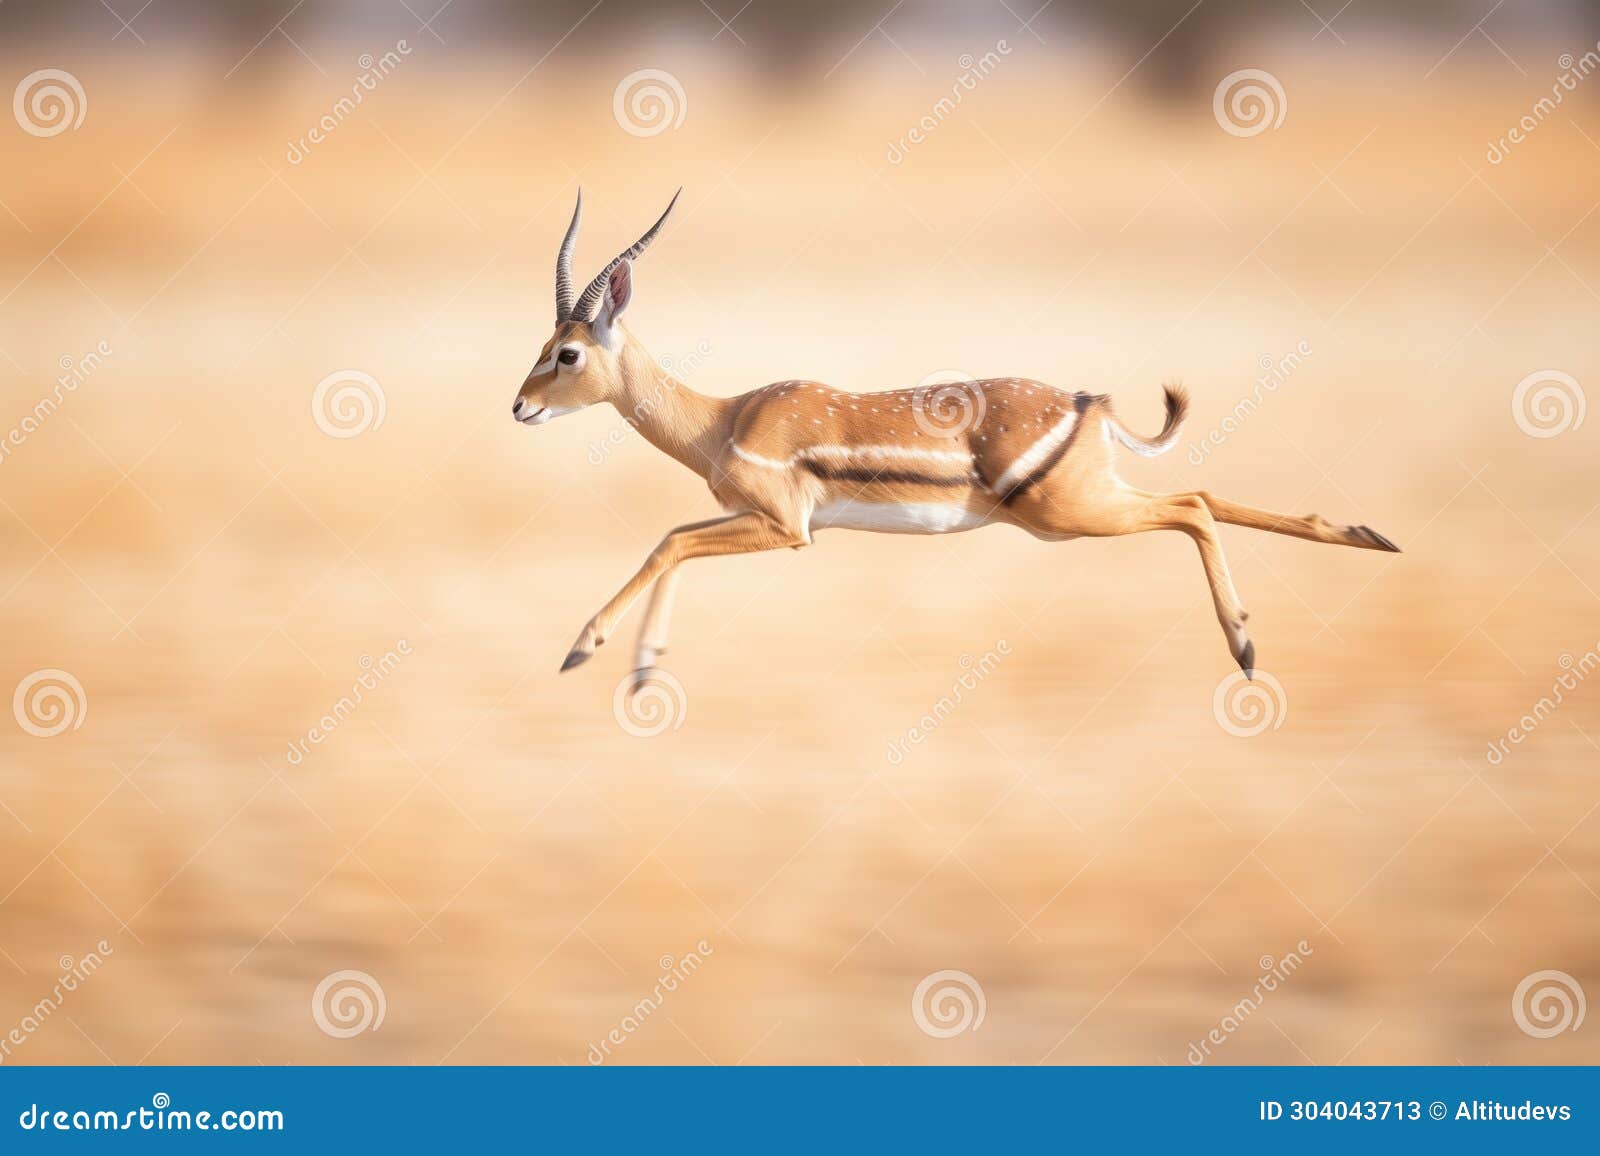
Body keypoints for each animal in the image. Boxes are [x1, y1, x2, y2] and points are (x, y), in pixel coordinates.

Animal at [512, 192, 1400, 691]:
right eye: (545, 341)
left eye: (569, 353)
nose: (519, 406)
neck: (724, 420)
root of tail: (1089, 404)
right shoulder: (762, 524)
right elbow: (671, 540)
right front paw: (639, 670)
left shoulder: (786, 530)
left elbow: (667, 544)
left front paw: (585, 652)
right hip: (1091, 500)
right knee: (1206, 494)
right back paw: (1366, 537)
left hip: (1071, 516)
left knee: (1191, 507)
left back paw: (1247, 648)